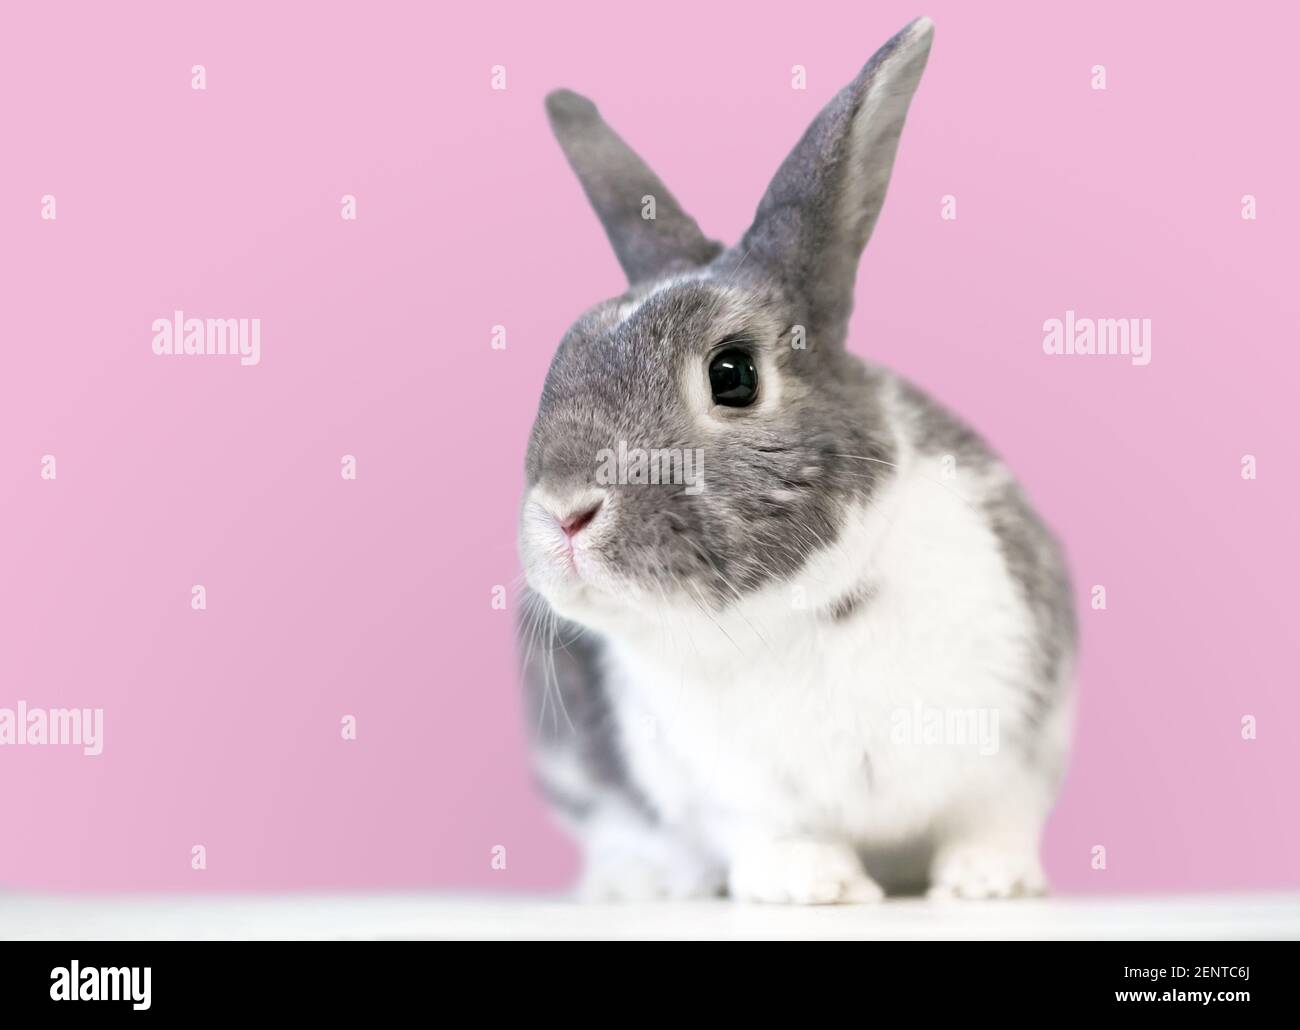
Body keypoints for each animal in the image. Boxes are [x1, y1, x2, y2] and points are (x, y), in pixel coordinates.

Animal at [516, 16, 1076, 904]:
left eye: (733, 374)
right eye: (559, 359)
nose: (564, 511)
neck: (793, 609)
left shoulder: (1020, 750)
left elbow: (992, 820)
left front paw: (990, 884)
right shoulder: (734, 796)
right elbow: (775, 833)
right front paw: (812, 887)